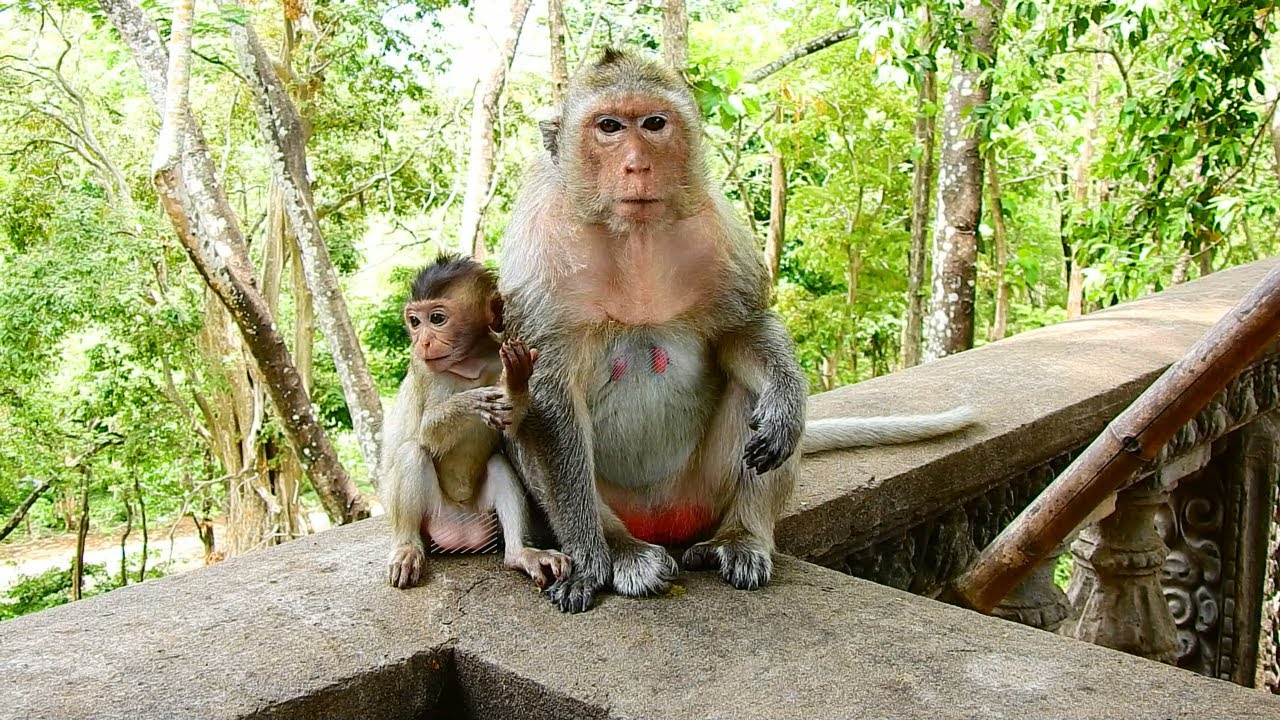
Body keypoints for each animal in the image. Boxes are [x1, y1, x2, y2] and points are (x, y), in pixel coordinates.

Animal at [381, 253, 570, 590]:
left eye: (437, 319)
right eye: (415, 322)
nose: (422, 342)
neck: (466, 363)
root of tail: (461, 534)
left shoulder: (497, 352)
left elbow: (510, 422)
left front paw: (516, 381)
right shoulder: (421, 369)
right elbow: (425, 433)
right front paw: (468, 402)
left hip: (482, 515)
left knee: (498, 463)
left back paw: (520, 554)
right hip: (433, 517)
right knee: (412, 452)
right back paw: (406, 548)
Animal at [497, 48, 976, 613]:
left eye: (654, 123)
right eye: (609, 126)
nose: (638, 164)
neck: (633, 238)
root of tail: (663, 524)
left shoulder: (716, 226)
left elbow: (742, 329)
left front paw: (786, 403)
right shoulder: (538, 248)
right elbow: (547, 393)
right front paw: (589, 562)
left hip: (703, 489)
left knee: (751, 394)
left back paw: (742, 536)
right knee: (523, 417)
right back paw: (623, 549)